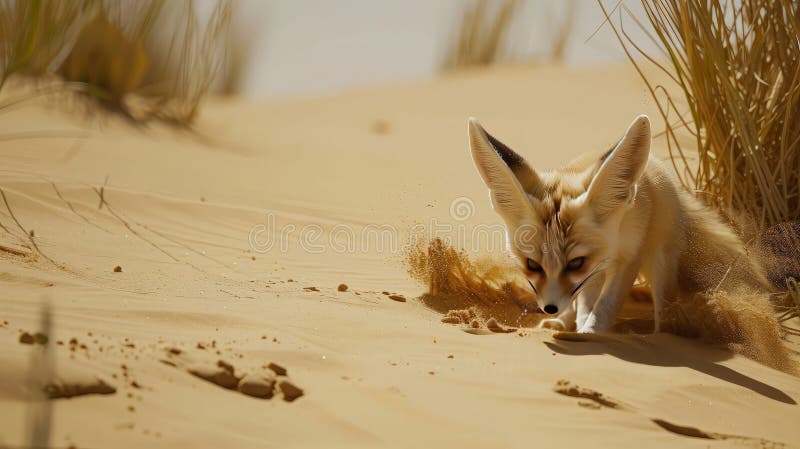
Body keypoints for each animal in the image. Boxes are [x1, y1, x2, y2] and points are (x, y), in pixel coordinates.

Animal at [468, 115, 770, 333]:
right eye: (532, 264)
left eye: (576, 262)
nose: (550, 307)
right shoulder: (593, 271)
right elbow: (583, 301)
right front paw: (575, 324)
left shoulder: (628, 257)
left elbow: (606, 303)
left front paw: (592, 332)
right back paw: (563, 322)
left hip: (659, 258)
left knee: (662, 306)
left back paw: (661, 335)